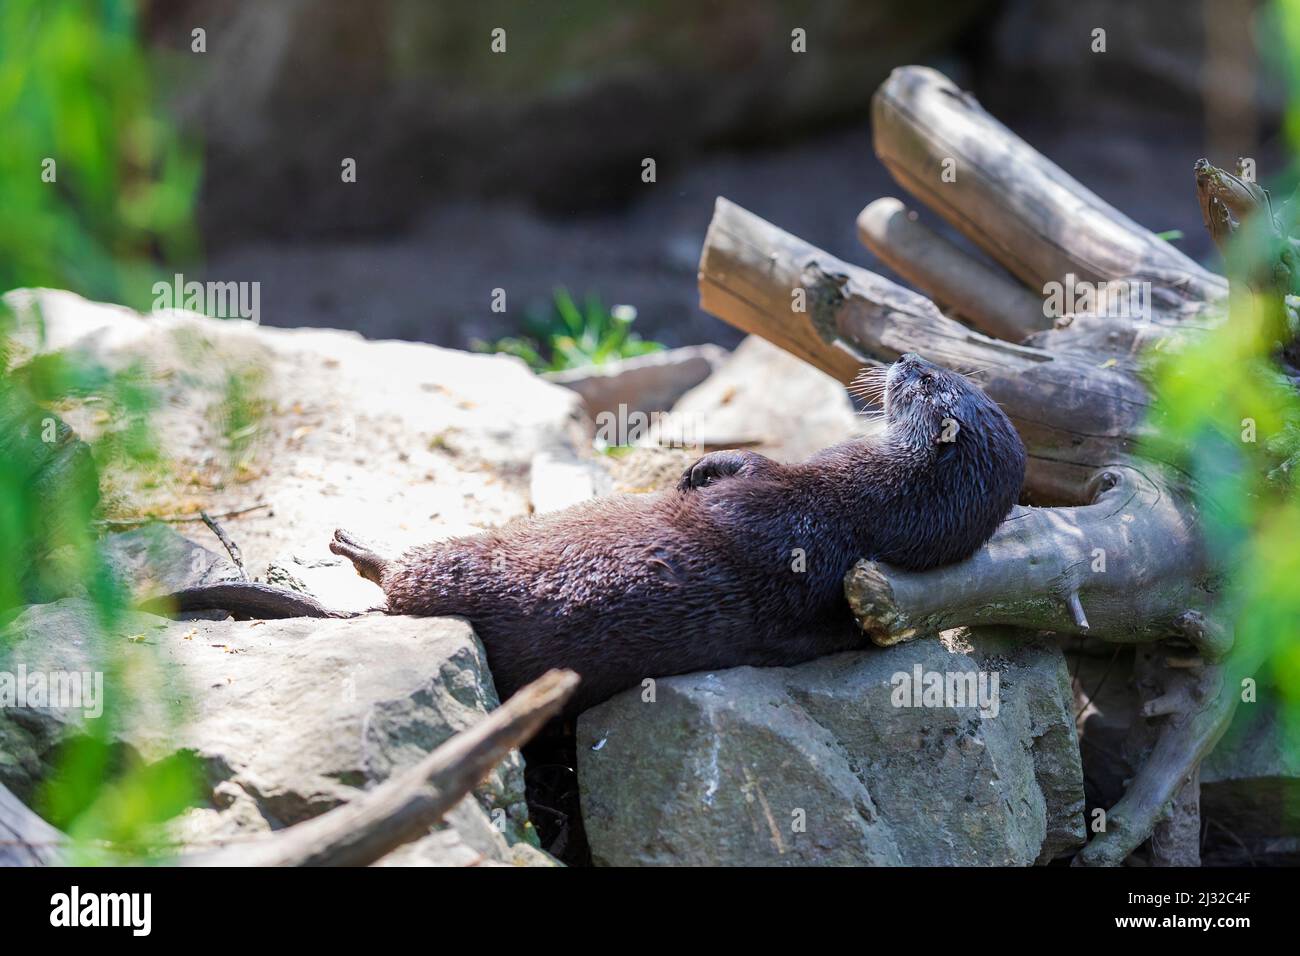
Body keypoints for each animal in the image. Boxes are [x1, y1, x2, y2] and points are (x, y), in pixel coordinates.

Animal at [321, 353, 1026, 713]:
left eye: (925, 381)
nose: (905, 355)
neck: (870, 501)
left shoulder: (792, 484)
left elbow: (746, 472)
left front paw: (702, 471)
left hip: (461, 558)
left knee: (407, 572)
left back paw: (359, 552)